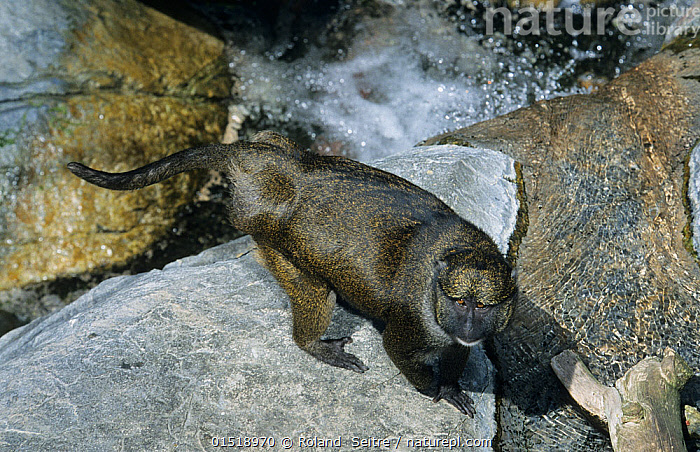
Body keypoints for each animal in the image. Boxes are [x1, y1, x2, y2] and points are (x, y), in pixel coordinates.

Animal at [67, 131, 517, 416]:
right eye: (460, 301)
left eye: (483, 306)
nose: (468, 325)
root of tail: (277, 163)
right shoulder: (415, 320)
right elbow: (399, 351)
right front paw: (436, 389)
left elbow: (458, 352)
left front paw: (453, 383)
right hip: (269, 236)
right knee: (316, 293)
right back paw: (312, 343)